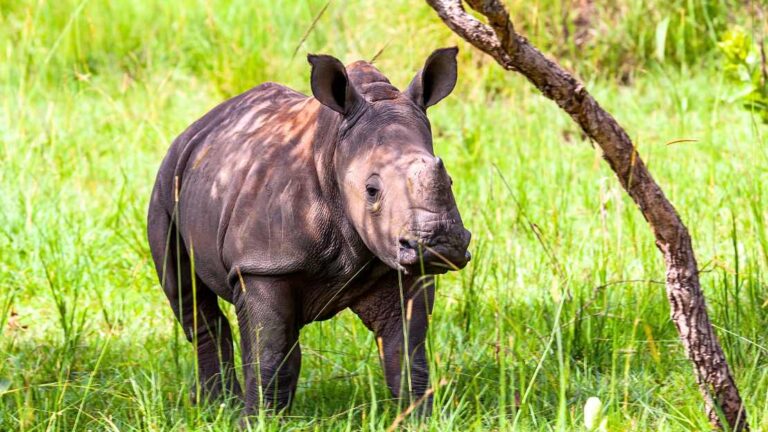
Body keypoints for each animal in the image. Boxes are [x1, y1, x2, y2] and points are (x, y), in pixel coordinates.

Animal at [147, 47, 471, 415]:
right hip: (167, 180)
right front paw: (257, 420)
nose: (441, 245)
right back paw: (221, 406)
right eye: (372, 190)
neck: (333, 152)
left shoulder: (401, 263)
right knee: (187, 292)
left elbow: (405, 349)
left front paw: (418, 416)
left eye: (450, 181)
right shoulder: (262, 264)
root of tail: (199, 125)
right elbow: (268, 349)